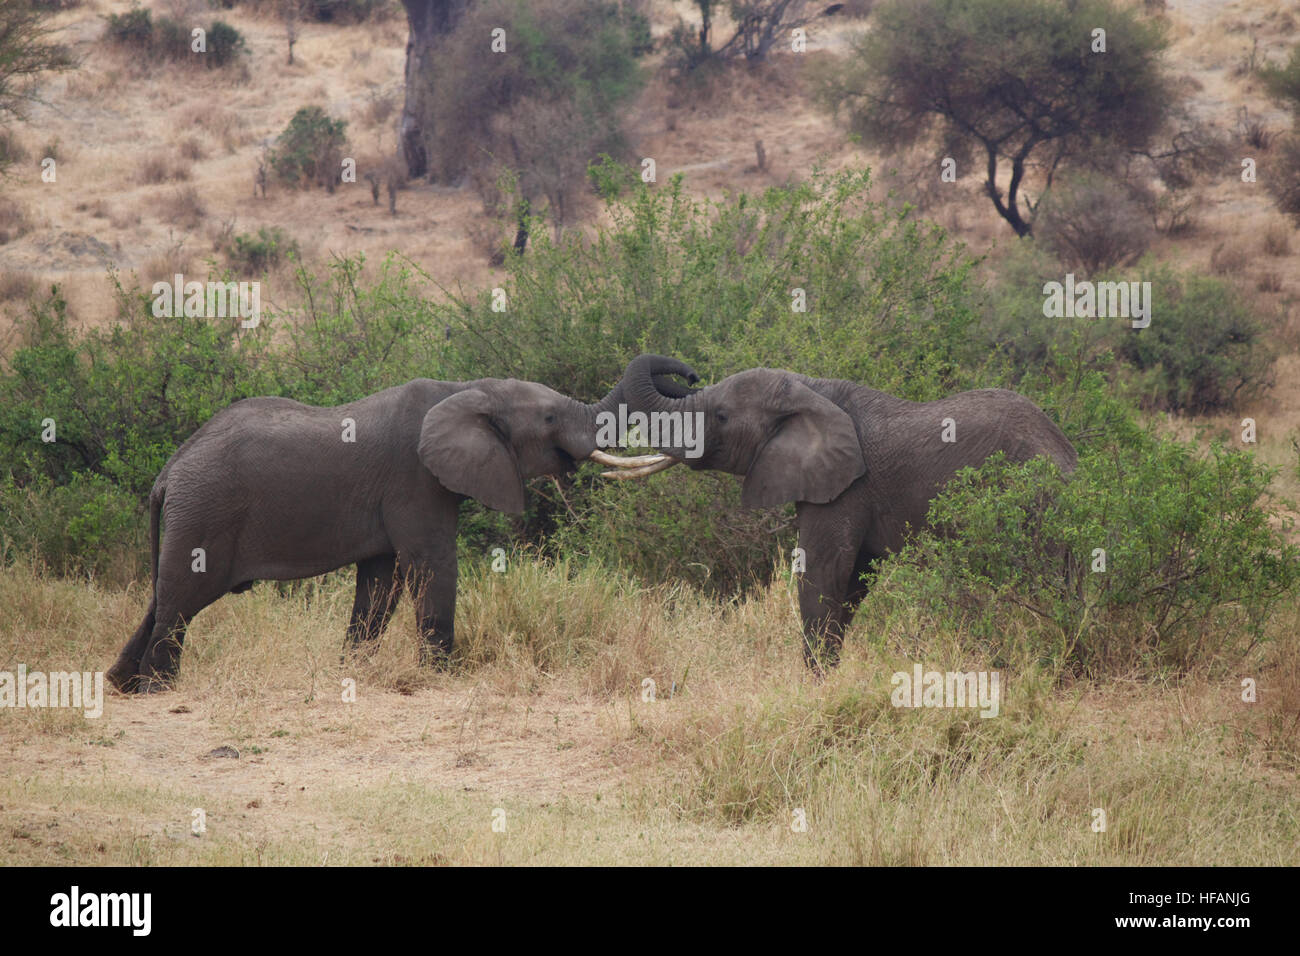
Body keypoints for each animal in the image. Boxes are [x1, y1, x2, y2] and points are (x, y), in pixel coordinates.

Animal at [106, 369, 697, 693]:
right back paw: (159, 688)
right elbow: (431, 565)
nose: (689, 377)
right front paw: (443, 677)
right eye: (550, 419)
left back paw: (121, 683)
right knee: (182, 599)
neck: (467, 390)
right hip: (205, 513)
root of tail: (167, 472)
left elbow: (381, 582)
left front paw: (351, 675)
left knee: (163, 595)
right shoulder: (415, 479)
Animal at [605, 354, 1078, 670]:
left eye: (720, 416)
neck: (812, 388)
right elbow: (852, 583)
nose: (689, 374)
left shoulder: (846, 488)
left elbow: (823, 571)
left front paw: (813, 682)